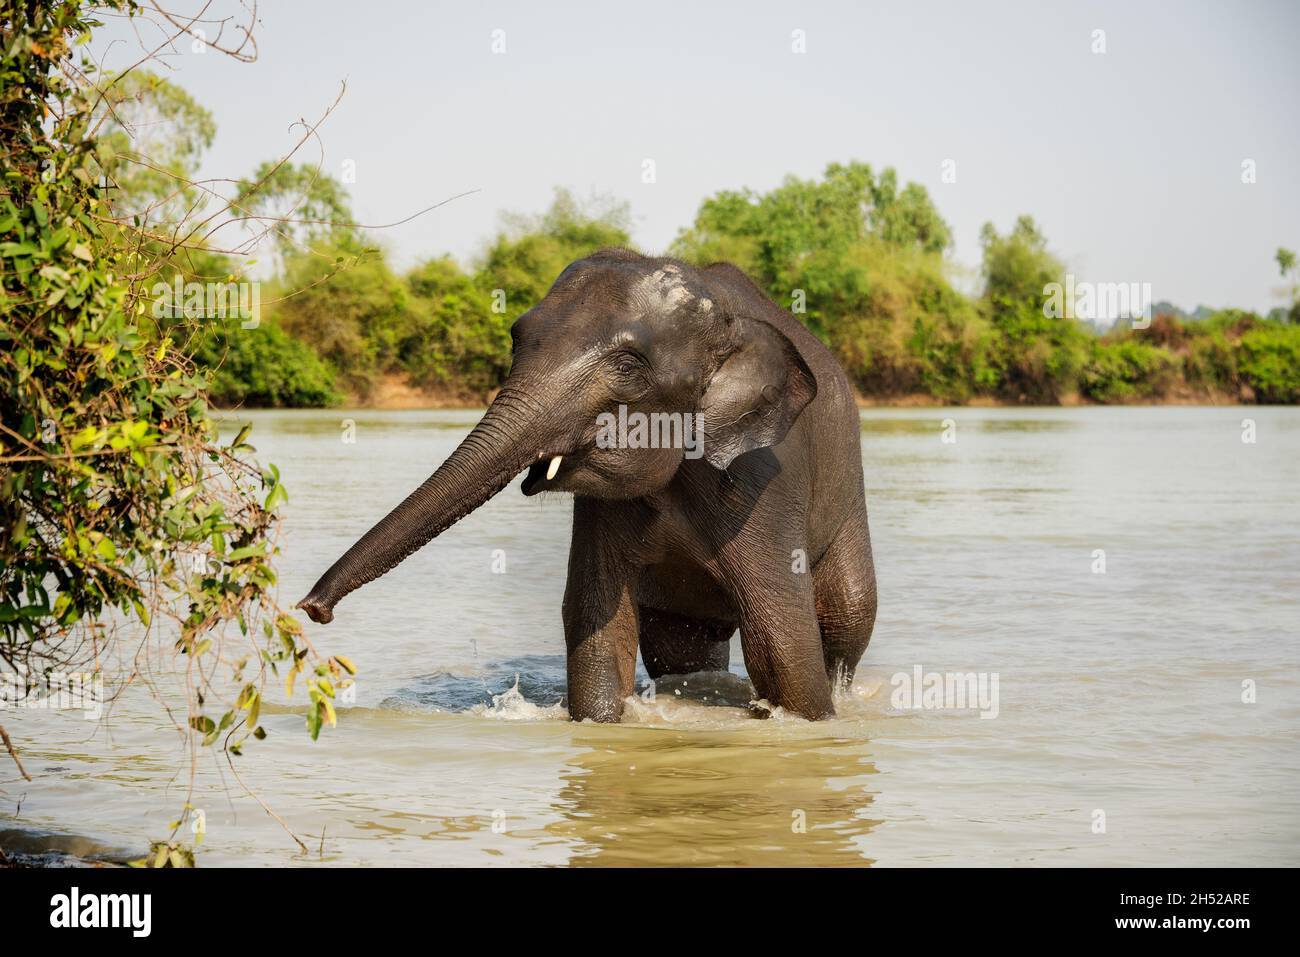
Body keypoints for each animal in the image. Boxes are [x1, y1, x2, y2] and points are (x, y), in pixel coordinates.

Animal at [298, 248, 878, 721]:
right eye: (516, 339)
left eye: (627, 366)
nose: (312, 610)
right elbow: (597, 623)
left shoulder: (761, 482)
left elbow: (784, 643)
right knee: (680, 646)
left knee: (848, 616)